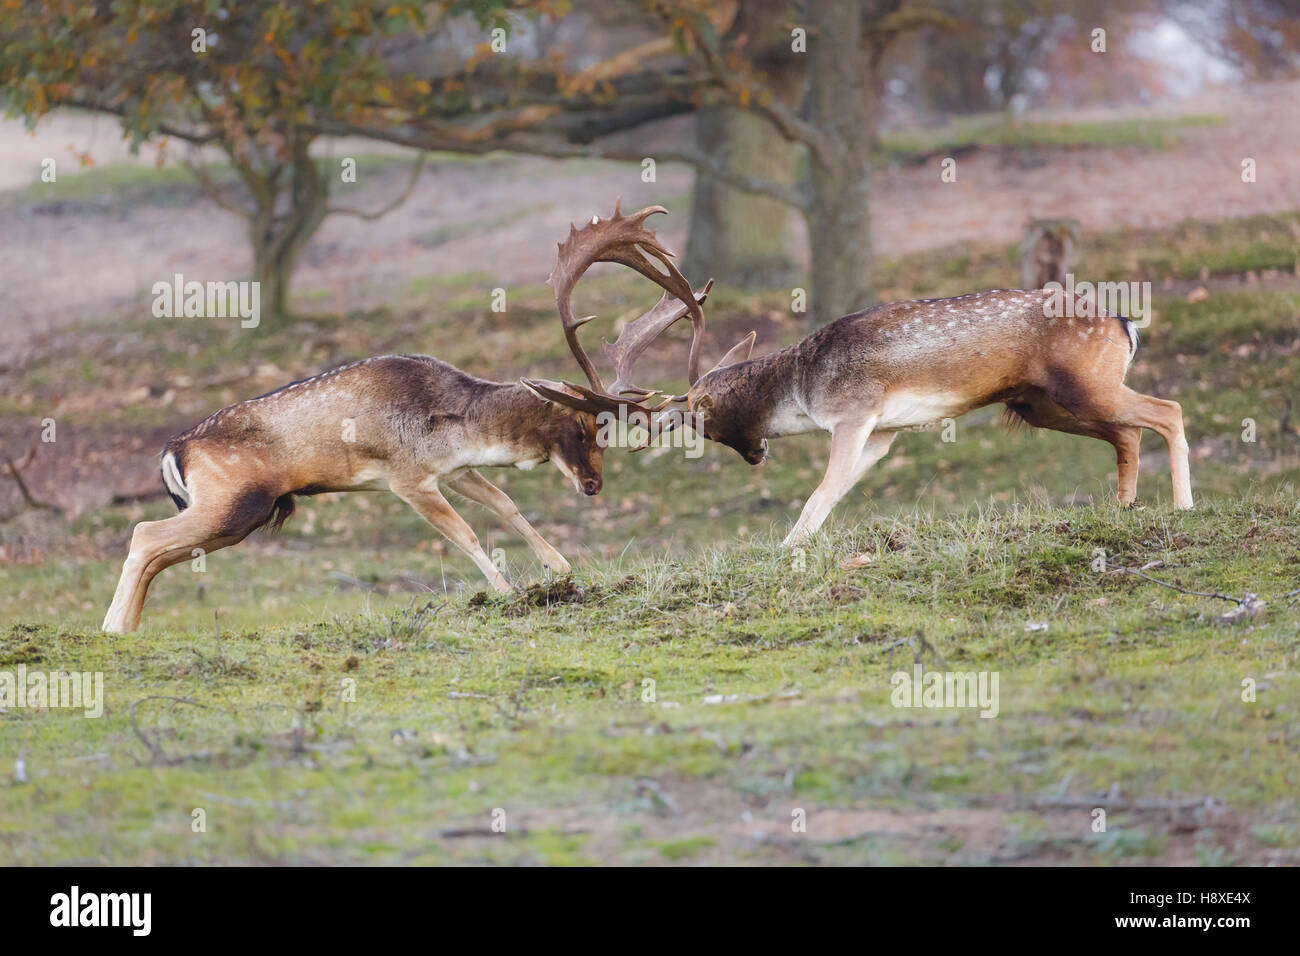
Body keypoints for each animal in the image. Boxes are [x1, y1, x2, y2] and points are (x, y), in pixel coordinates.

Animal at [102, 202, 707, 634]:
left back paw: (122, 628)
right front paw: (509, 593)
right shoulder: (407, 477)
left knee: (158, 550)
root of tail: (173, 451)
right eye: (584, 425)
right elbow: (464, 533)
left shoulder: (457, 470)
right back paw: (113, 630)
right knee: (144, 533)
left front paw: (559, 569)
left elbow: (506, 504)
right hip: (234, 500)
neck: (459, 424)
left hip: (241, 513)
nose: (593, 485)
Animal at [625, 287, 1193, 546]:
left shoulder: (853, 412)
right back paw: (1124, 507)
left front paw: (786, 549)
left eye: (702, 423)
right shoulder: (884, 433)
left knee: (1168, 409)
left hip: (1085, 385)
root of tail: (1124, 323)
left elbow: (821, 490)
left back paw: (1183, 506)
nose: (755, 455)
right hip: (1043, 404)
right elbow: (839, 489)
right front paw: (797, 544)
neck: (804, 387)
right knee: (1128, 434)